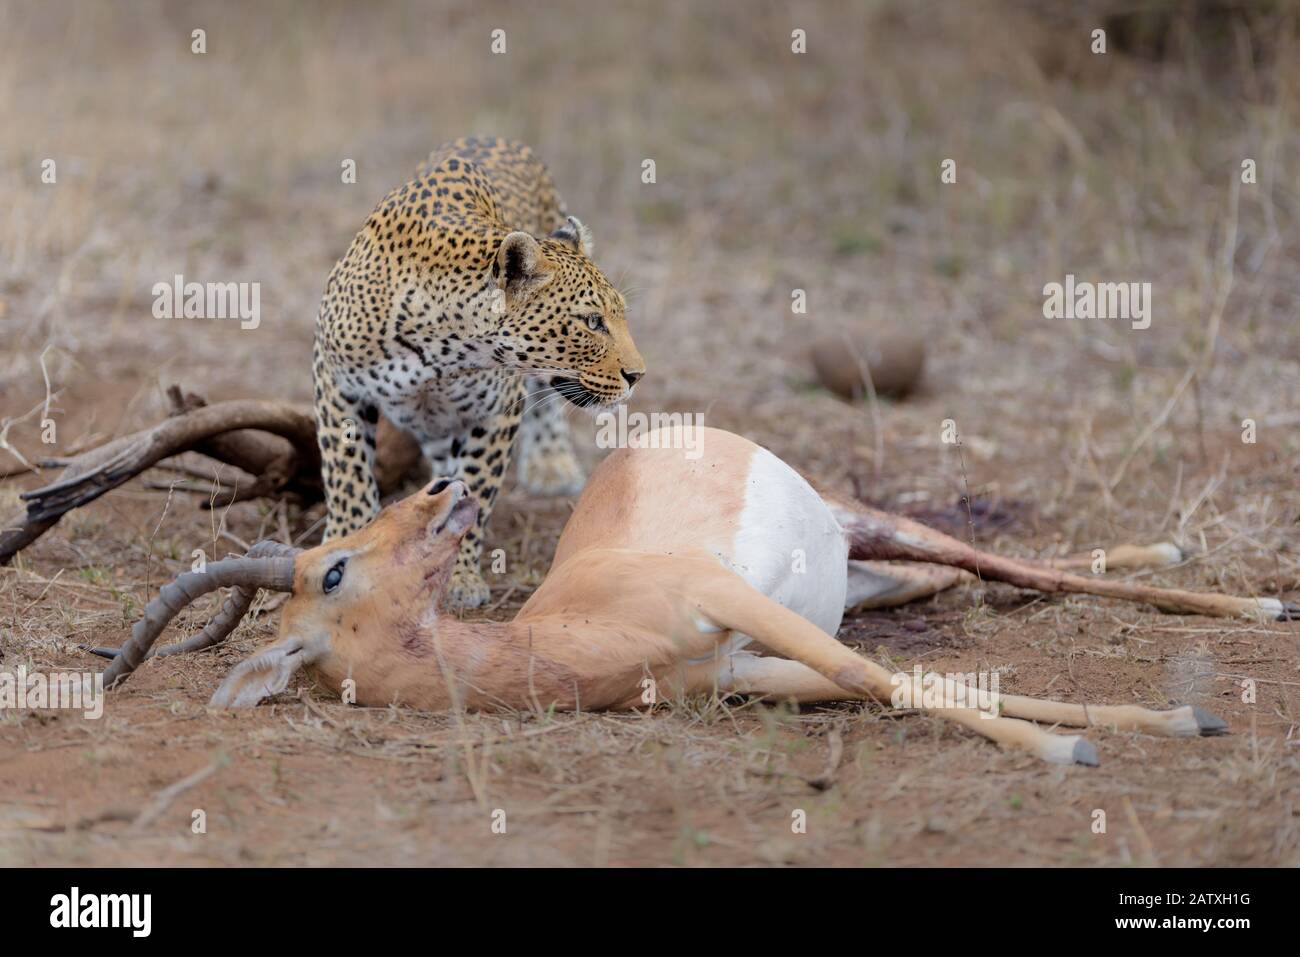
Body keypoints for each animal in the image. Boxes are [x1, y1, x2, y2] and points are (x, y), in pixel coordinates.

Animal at [312, 137, 645, 608]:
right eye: (592, 321)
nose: (638, 375)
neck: (441, 347)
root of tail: (498, 138)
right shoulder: (336, 380)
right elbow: (346, 476)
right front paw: (346, 540)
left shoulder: (497, 412)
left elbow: (476, 490)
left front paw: (459, 577)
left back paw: (550, 464)